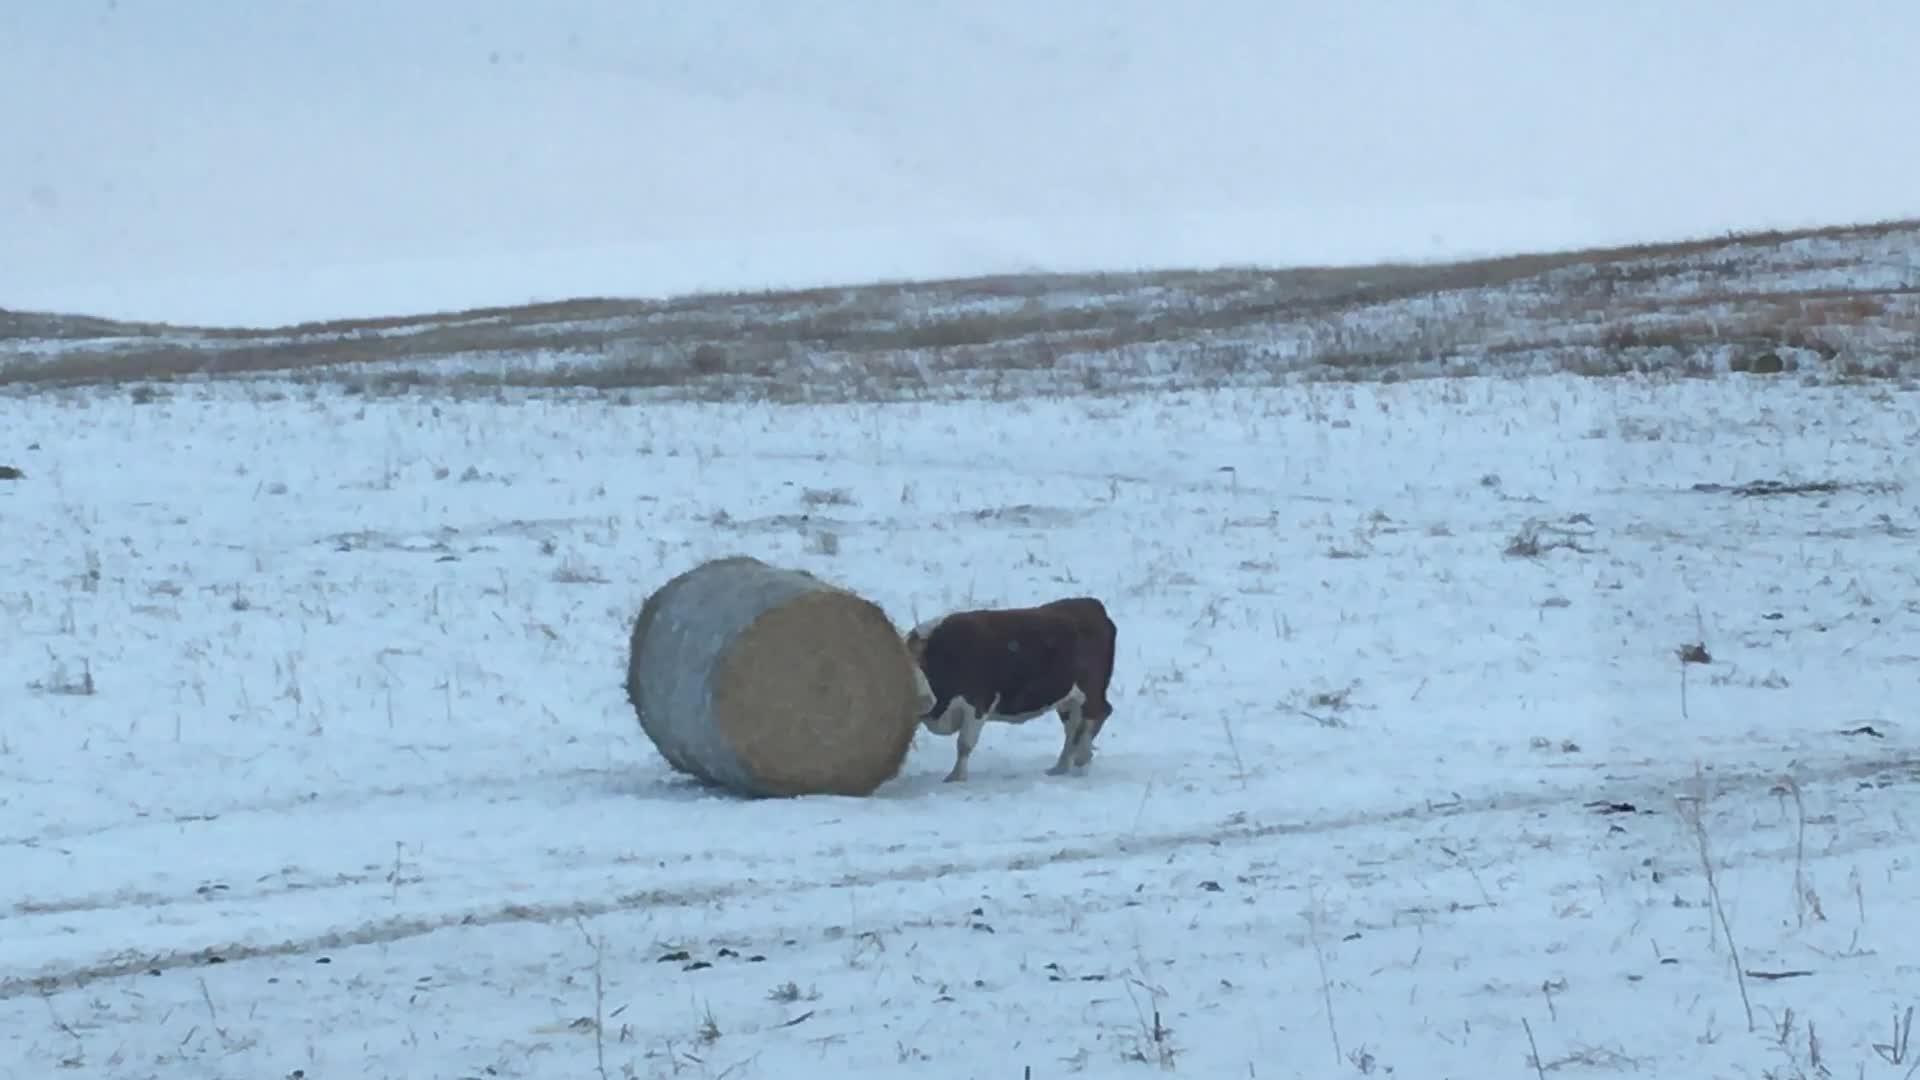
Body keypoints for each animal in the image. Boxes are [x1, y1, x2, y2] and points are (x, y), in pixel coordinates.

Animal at [903, 596, 1117, 783]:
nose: (924, 698)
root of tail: (1091, 604)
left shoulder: (978, 703)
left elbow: (964, 744)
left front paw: (956, 777)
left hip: (1090, 690)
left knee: (1098, 714)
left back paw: (1082, 759)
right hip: (1067, 698)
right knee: (1073, 727)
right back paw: (1061, 767)